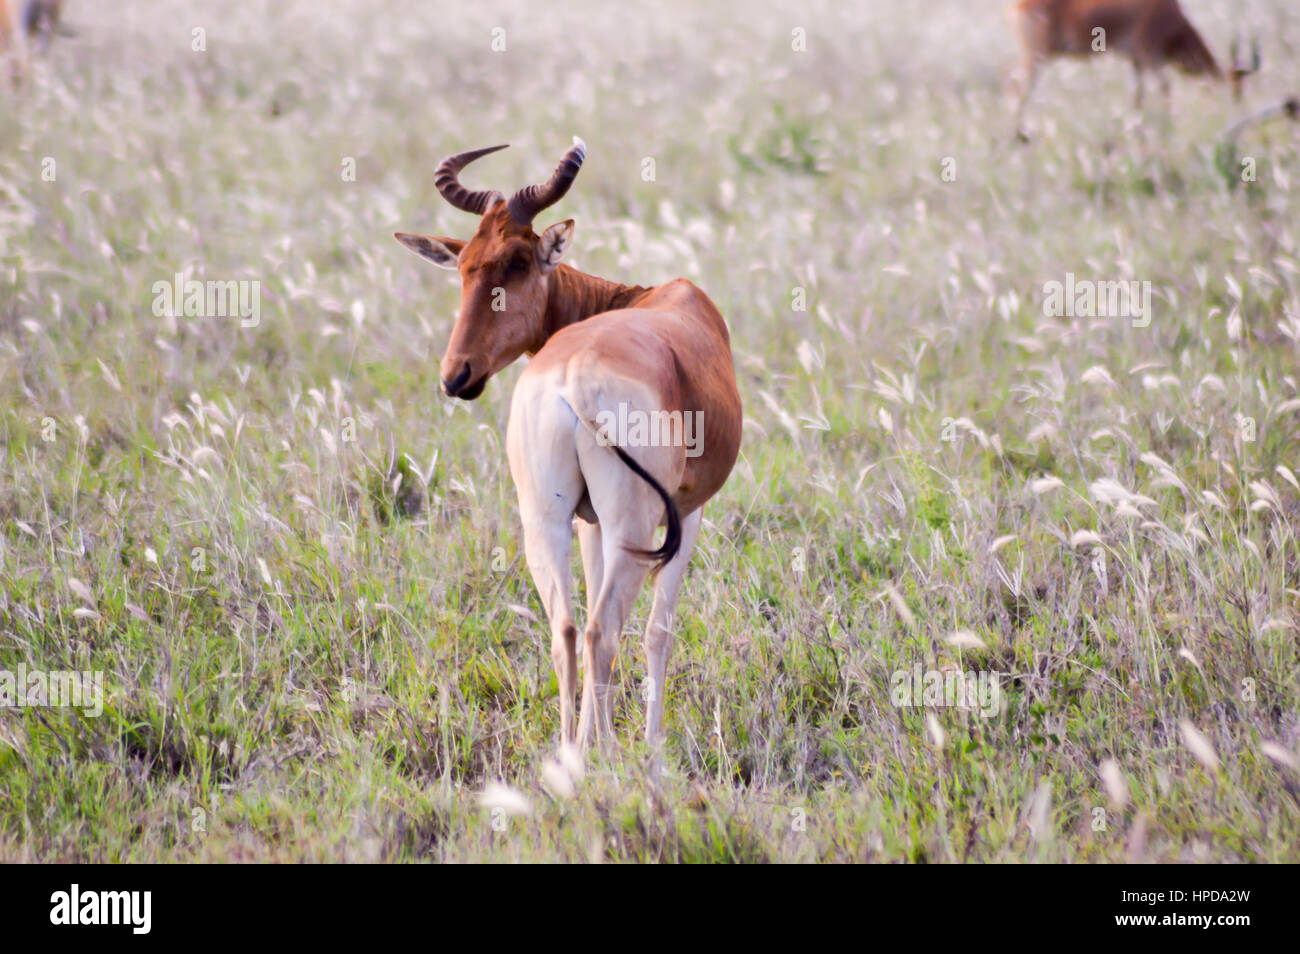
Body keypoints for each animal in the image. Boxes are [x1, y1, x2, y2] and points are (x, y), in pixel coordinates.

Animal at [394, 140, 742, 751]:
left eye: (517, 261)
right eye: (464, 266)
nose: (456, 376)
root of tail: (576, 375)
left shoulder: (586, 521)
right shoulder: (688, 513)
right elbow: (659, 631)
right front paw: (649, 746)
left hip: (544, 517)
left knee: (567, 628)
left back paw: (570, 755)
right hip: (634, 524)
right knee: (604, 629)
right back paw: (613, 758)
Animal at [1012, 0, 1261, 132]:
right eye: (1236, 91)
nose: (1239, 119)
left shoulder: (1136, 61)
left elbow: (1136, 96)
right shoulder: (1151, 58)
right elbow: (1165, 88)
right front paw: (1169, 127)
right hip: (1036, 56)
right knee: (1017, 89)